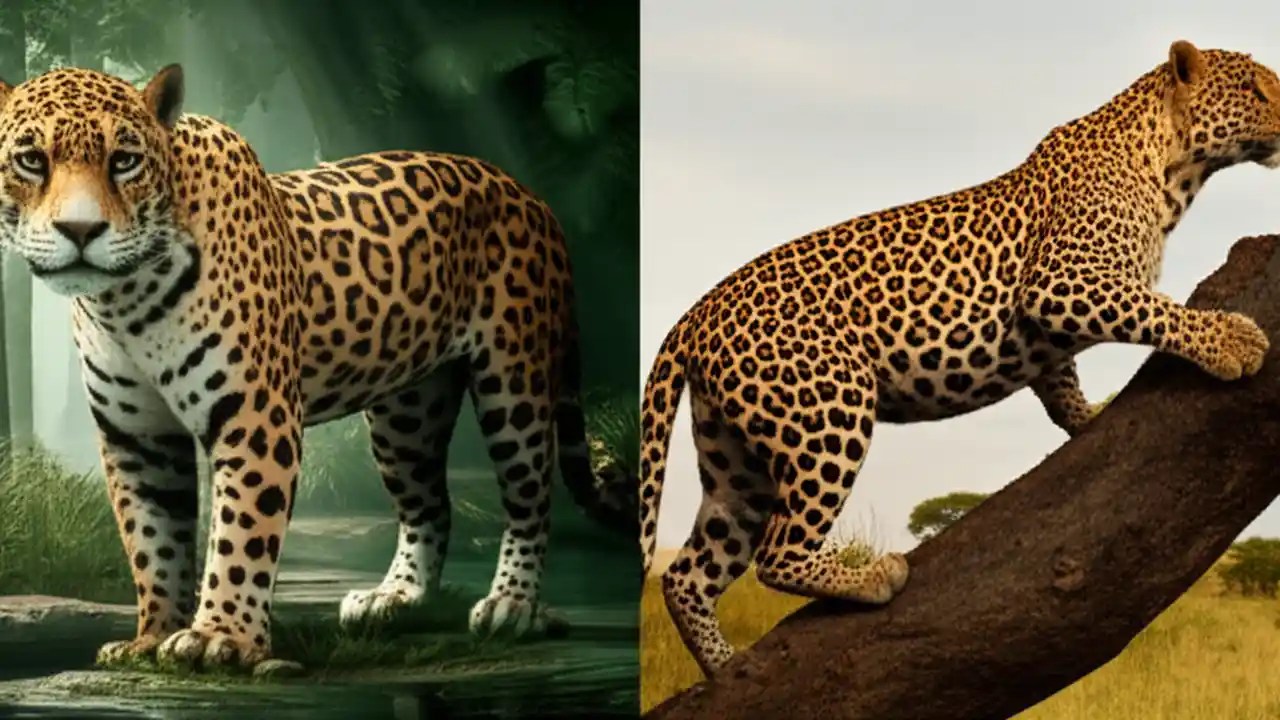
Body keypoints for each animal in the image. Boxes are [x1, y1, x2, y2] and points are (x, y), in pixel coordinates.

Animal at [0, 63, 633, 670]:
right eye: (32, 161)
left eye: (124, 161)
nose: (81, 231)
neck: (125, 299)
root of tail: (528, 193)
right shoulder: (137, 436)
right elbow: (154, 542)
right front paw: (152, 636)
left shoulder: (255, 415)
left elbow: (240, 533)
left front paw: (219, 638)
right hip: (407, 414)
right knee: (432, 505)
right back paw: (394, 598)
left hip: (514, 384)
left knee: (531, 497)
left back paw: (512, 605)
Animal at [639, 39, 1280, 675]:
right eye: (1257, 88)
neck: (1175, 168)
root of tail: (696, 314)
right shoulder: (1060, 280)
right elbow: (1156, 309)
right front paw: (1231, 340)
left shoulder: (1054, 324)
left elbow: (1062, 385)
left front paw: (1089, 417)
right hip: (828, 408)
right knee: (778, 551)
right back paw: (872, 579)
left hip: (736, 461)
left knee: (687, 574)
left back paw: (722, 665)